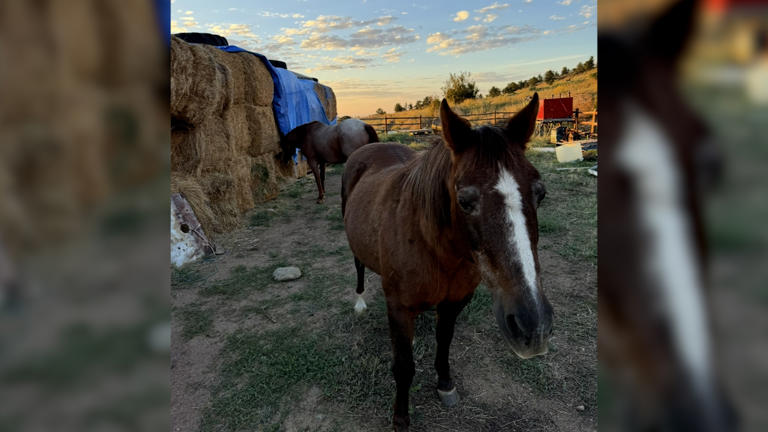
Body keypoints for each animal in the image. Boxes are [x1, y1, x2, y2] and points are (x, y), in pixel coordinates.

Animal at [341, 94, 553, 431]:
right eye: (464, 200)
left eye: (540, 194)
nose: (534, 326)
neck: (437, 250)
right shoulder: (398, 307)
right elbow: (404, 366)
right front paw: (401, 418)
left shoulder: (454, 302)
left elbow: (444, 342)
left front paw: (444, 384)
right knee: (359, 265)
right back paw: (359, 301)